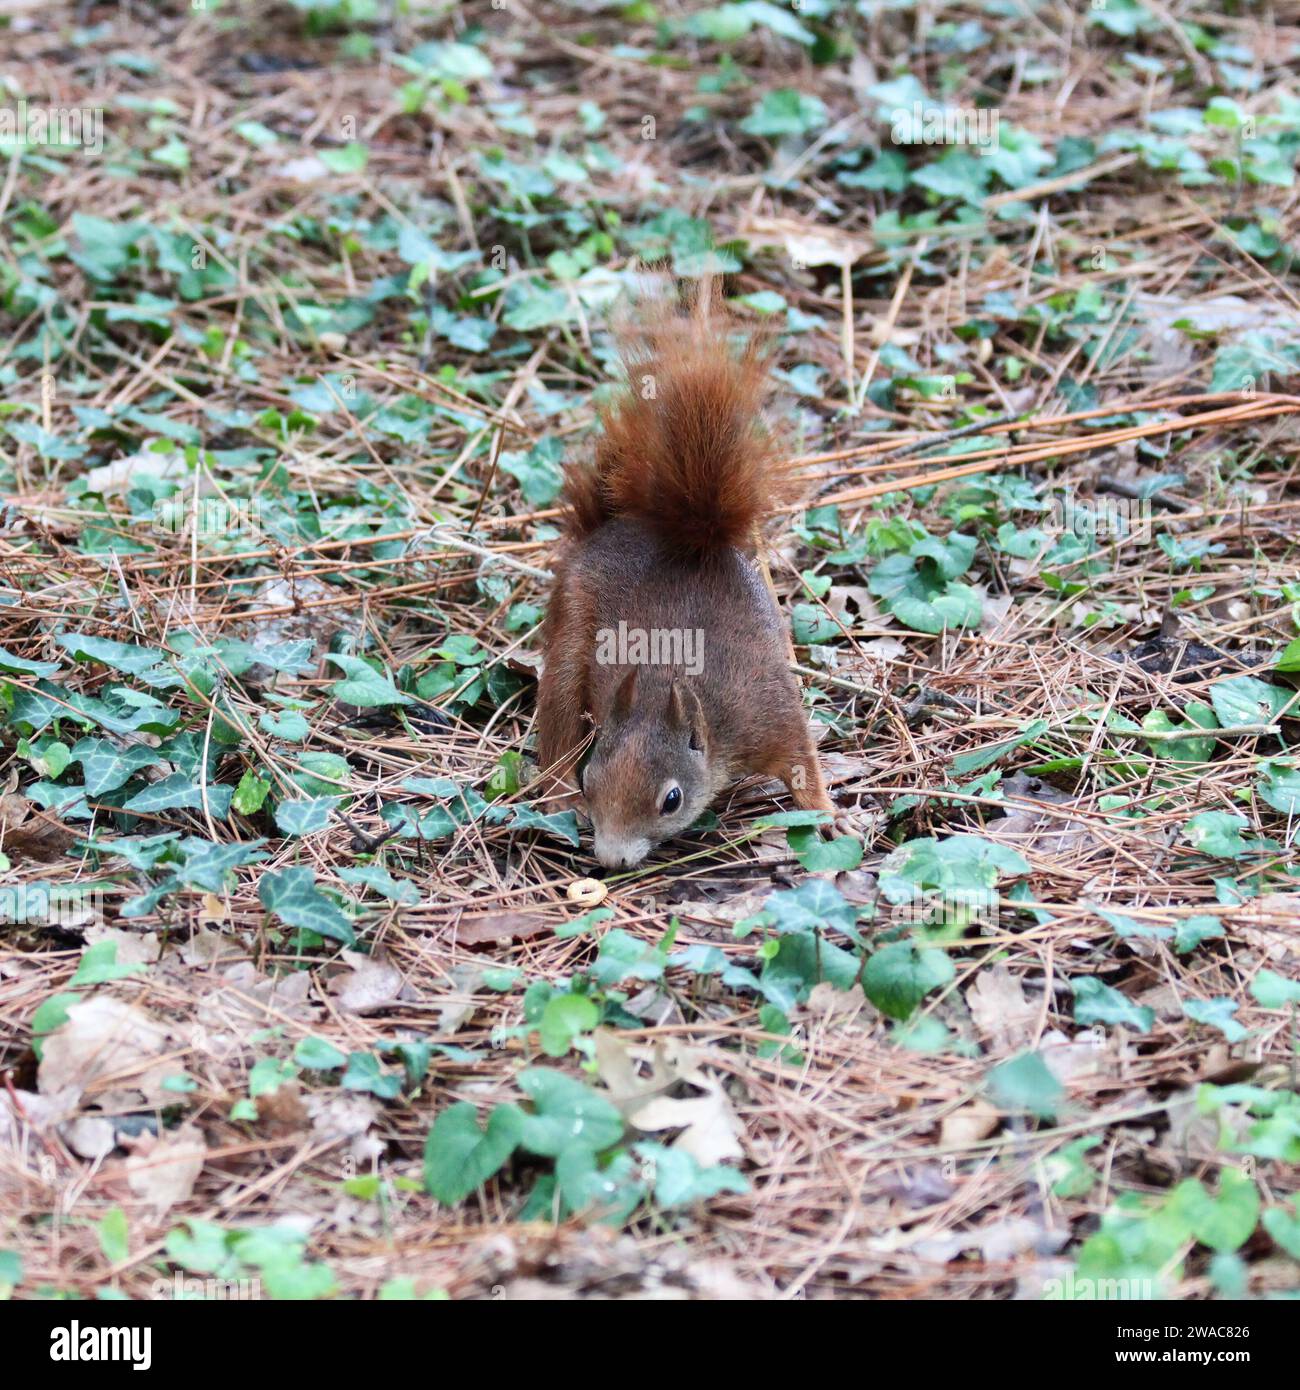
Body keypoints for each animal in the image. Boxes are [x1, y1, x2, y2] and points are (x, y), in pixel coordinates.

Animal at [534, 280, 835, 868]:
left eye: (670, 800)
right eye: (592, 779)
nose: (611, 859)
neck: (665, 689)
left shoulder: (768, 714)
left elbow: (801, 763)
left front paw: (831, 815)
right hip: (572, 628)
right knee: (557, 718)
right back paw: (556, 791)